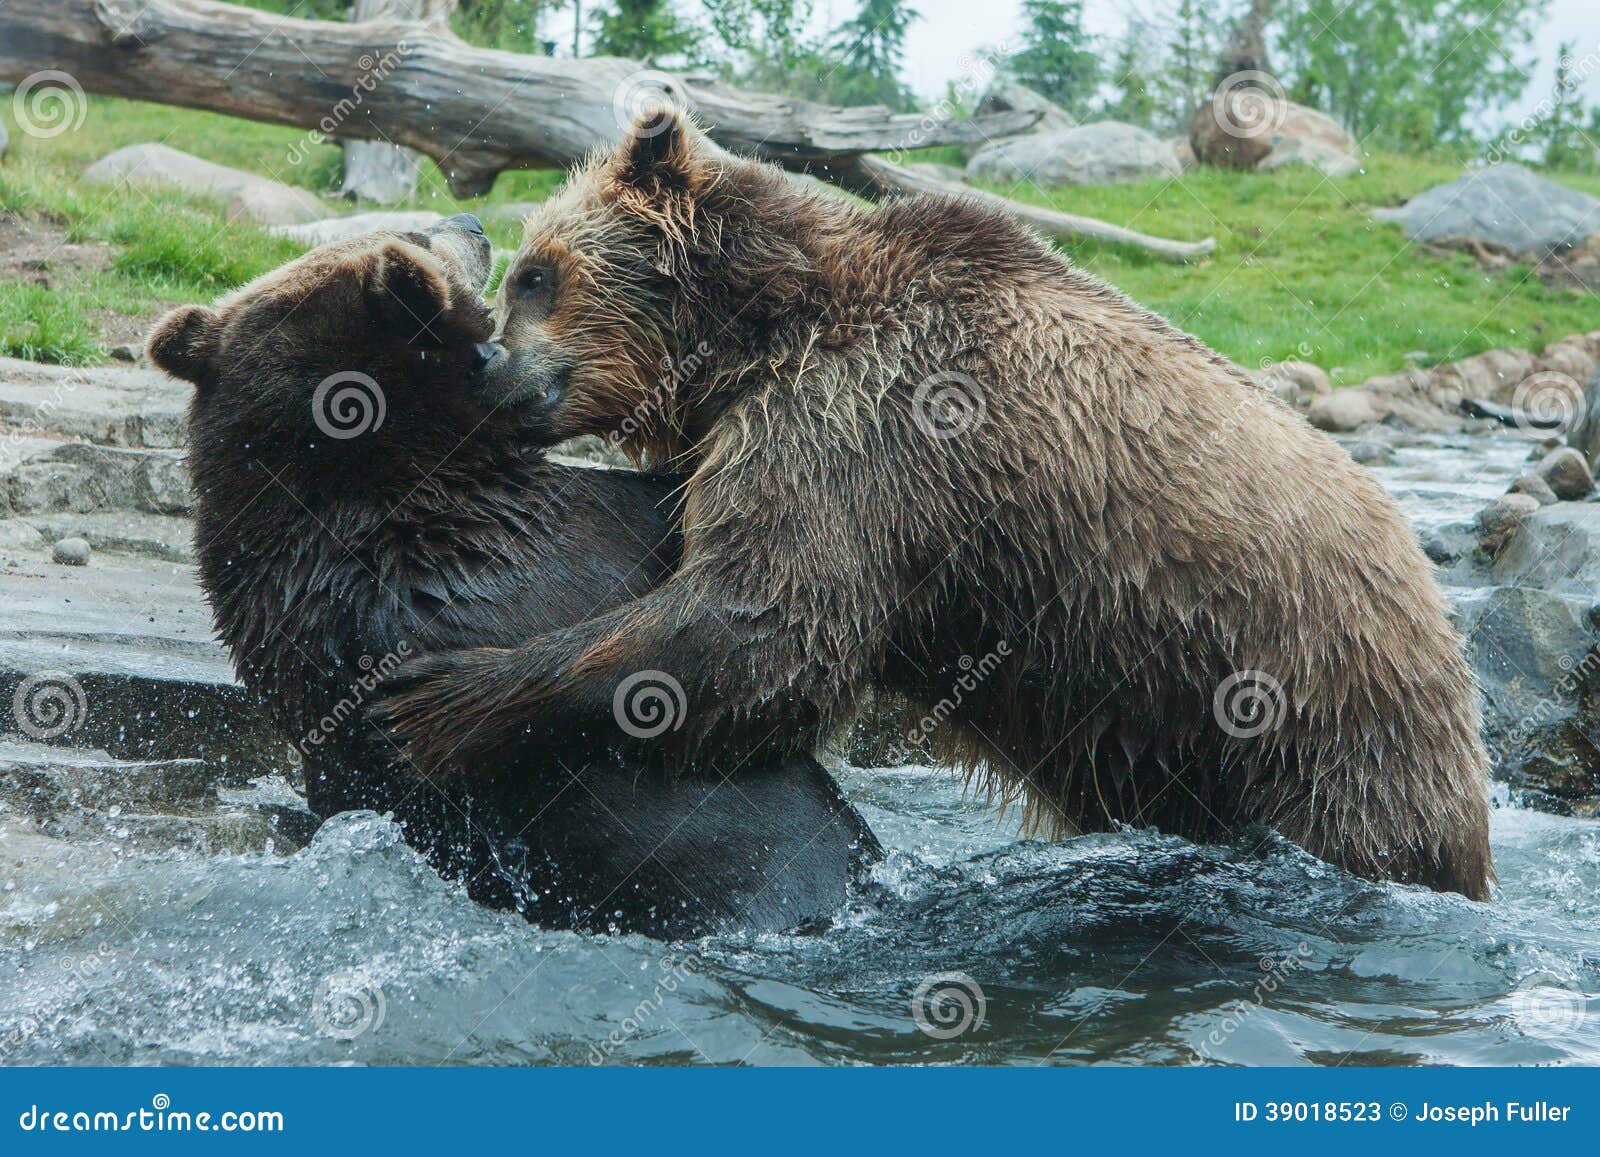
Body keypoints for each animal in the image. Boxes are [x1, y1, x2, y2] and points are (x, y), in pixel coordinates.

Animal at [376, 114, 1494, 902]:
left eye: (535, 273)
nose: (487, 369)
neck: (755, 335)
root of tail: (1437, 619)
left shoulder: (859, 427)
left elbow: (765, 621)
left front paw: (439, 695)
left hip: (1306, 703)